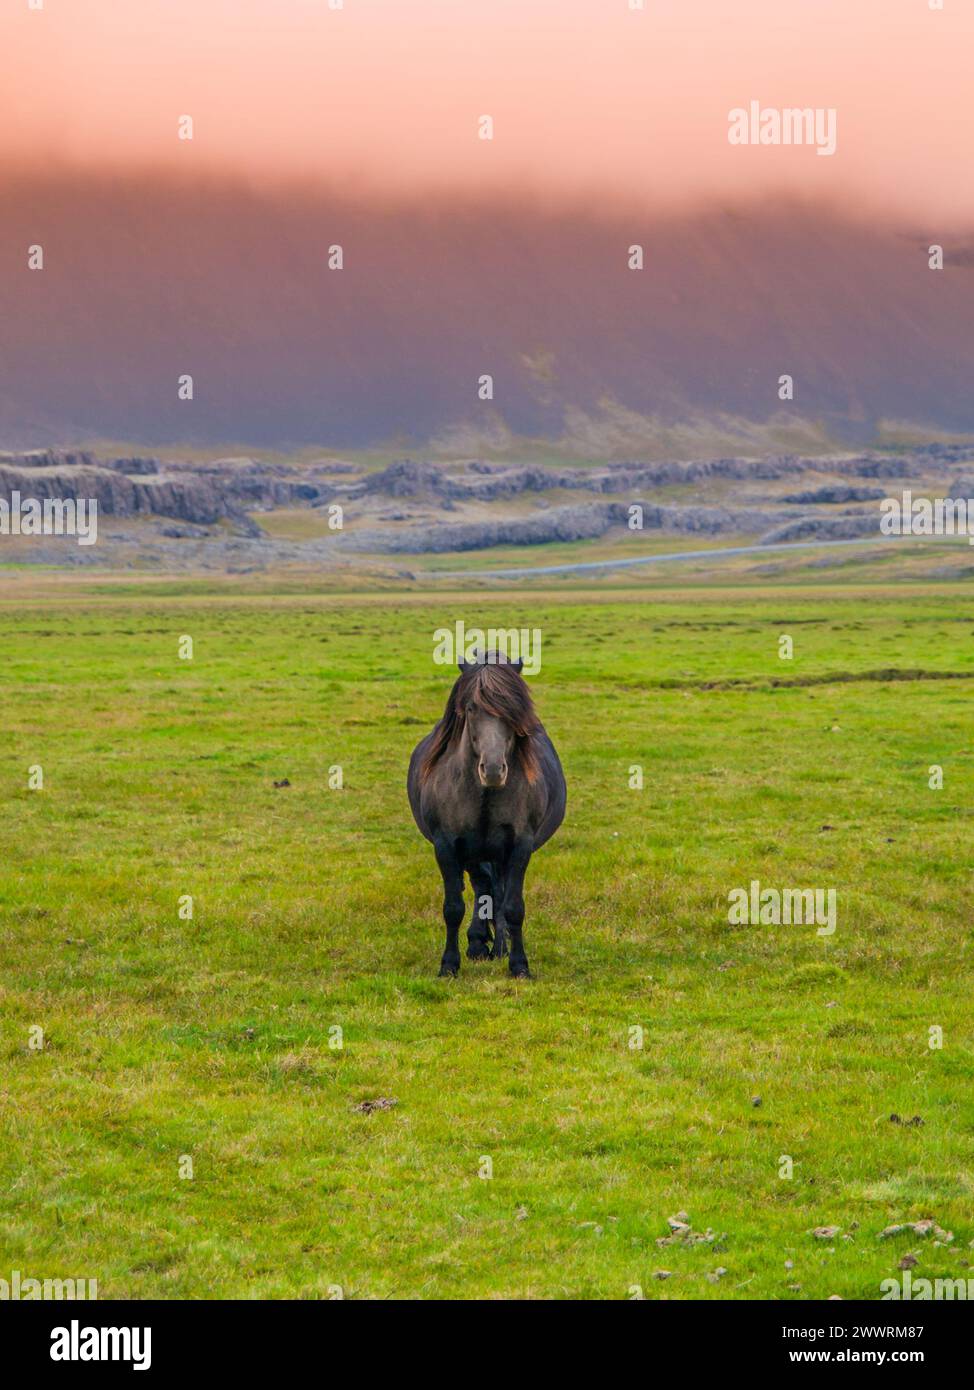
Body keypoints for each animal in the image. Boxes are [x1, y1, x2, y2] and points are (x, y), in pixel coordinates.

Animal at [407, 652, 566, 978]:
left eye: (513, 710)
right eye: (471, 708)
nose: (493, 770)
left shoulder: (519, 846)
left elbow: (513, 906)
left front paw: (518, 964)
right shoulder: (447, 846)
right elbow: (453, 907)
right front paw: (449, 964)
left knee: (497, 891)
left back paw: (497, 947)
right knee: (483, 886)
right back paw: (478, 944)